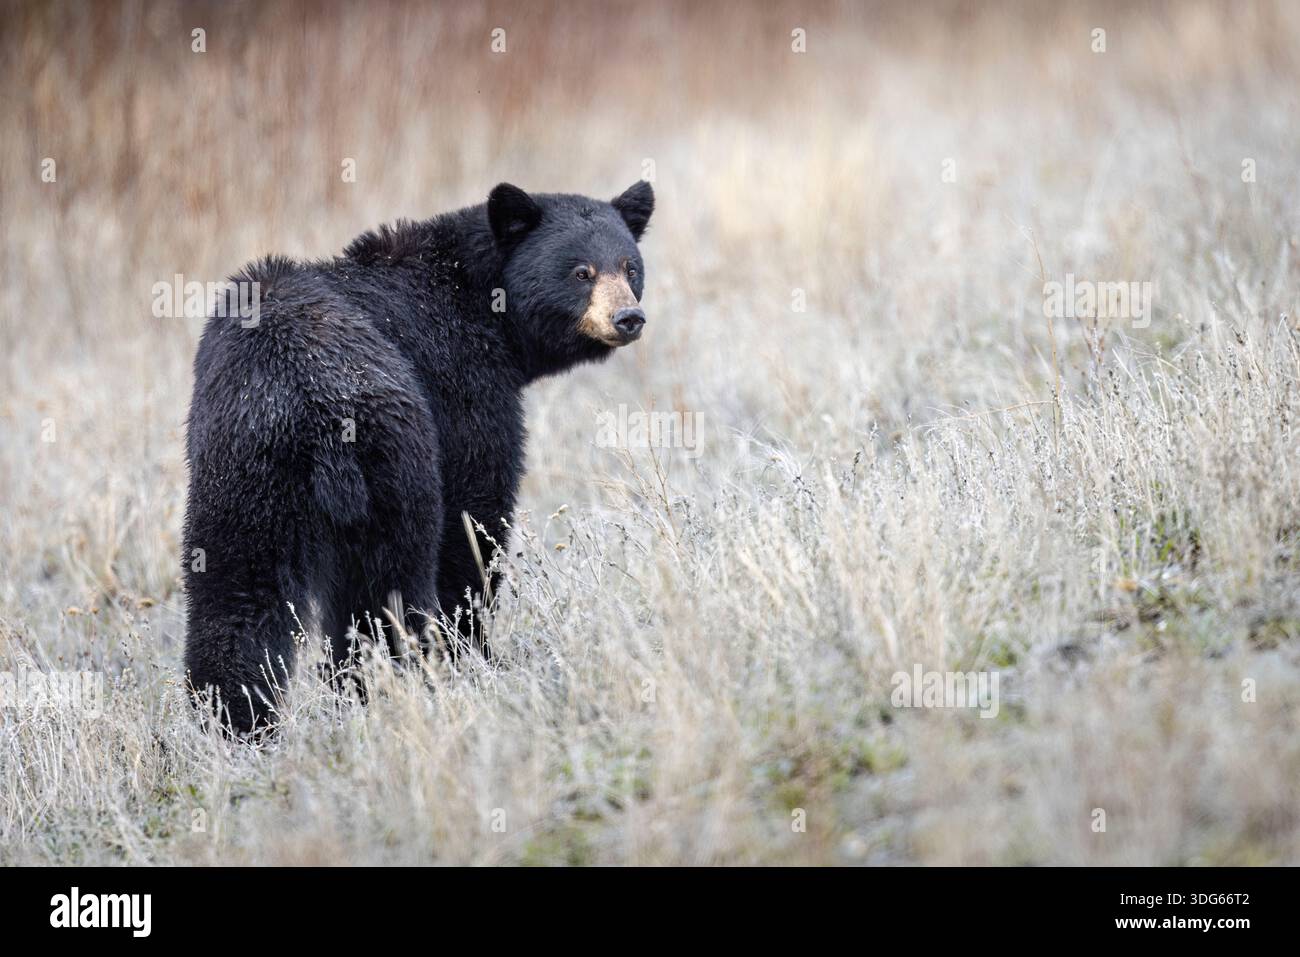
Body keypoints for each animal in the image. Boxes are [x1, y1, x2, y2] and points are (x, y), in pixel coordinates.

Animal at [183, 180, 654, 733]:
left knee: (236, 594)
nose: (628, 317)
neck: (481, 304)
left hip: (243, 467)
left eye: (630, 267)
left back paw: (234, 721)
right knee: (390, 588)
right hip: (392, 460)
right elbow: (473, 522)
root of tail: (310, 399)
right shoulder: (463, 388)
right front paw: (476, 651)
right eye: (581, 272)